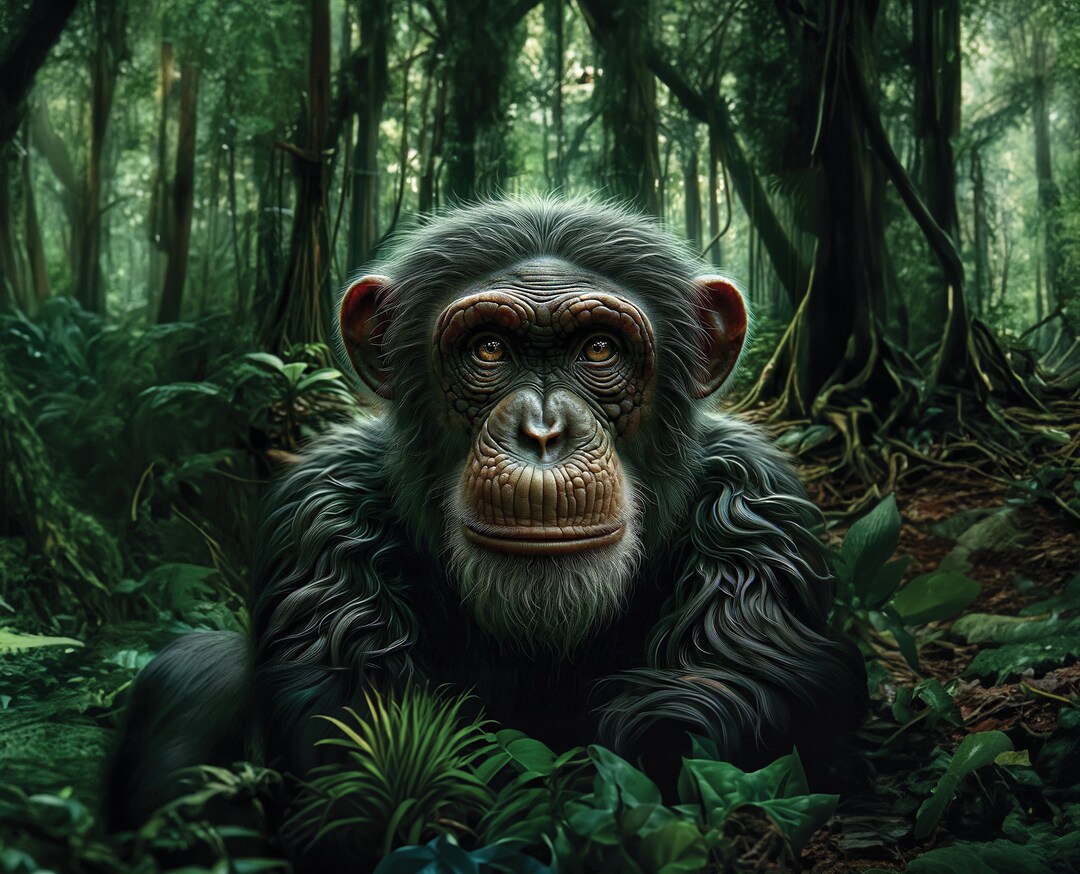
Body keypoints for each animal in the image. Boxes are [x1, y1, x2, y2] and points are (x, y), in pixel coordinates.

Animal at [108, 196, 866, 859]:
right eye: (490, 349)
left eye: (598, 350)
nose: (542, 432)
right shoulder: (315, 512)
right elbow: (363, 742)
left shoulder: (760, 511)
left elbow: (707, 715)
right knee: (192, 668)